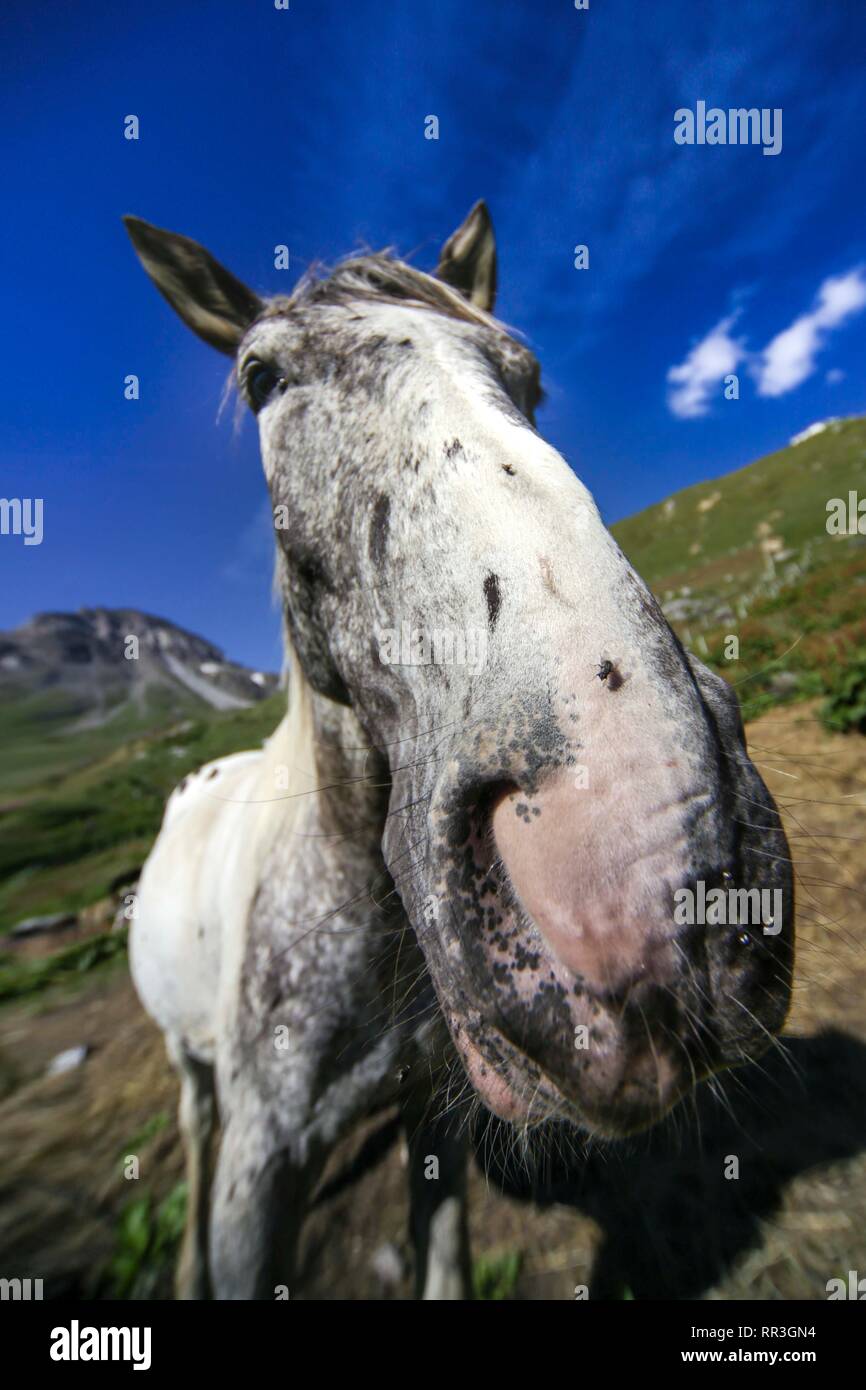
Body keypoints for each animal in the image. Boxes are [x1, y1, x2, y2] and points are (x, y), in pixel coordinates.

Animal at [125, 201, 794, 1299]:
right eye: (261, 378)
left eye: (527, 376)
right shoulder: (259, 1173)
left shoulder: (428, 1118)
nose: (640, 856)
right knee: (190, 1126)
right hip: (190, 1065)